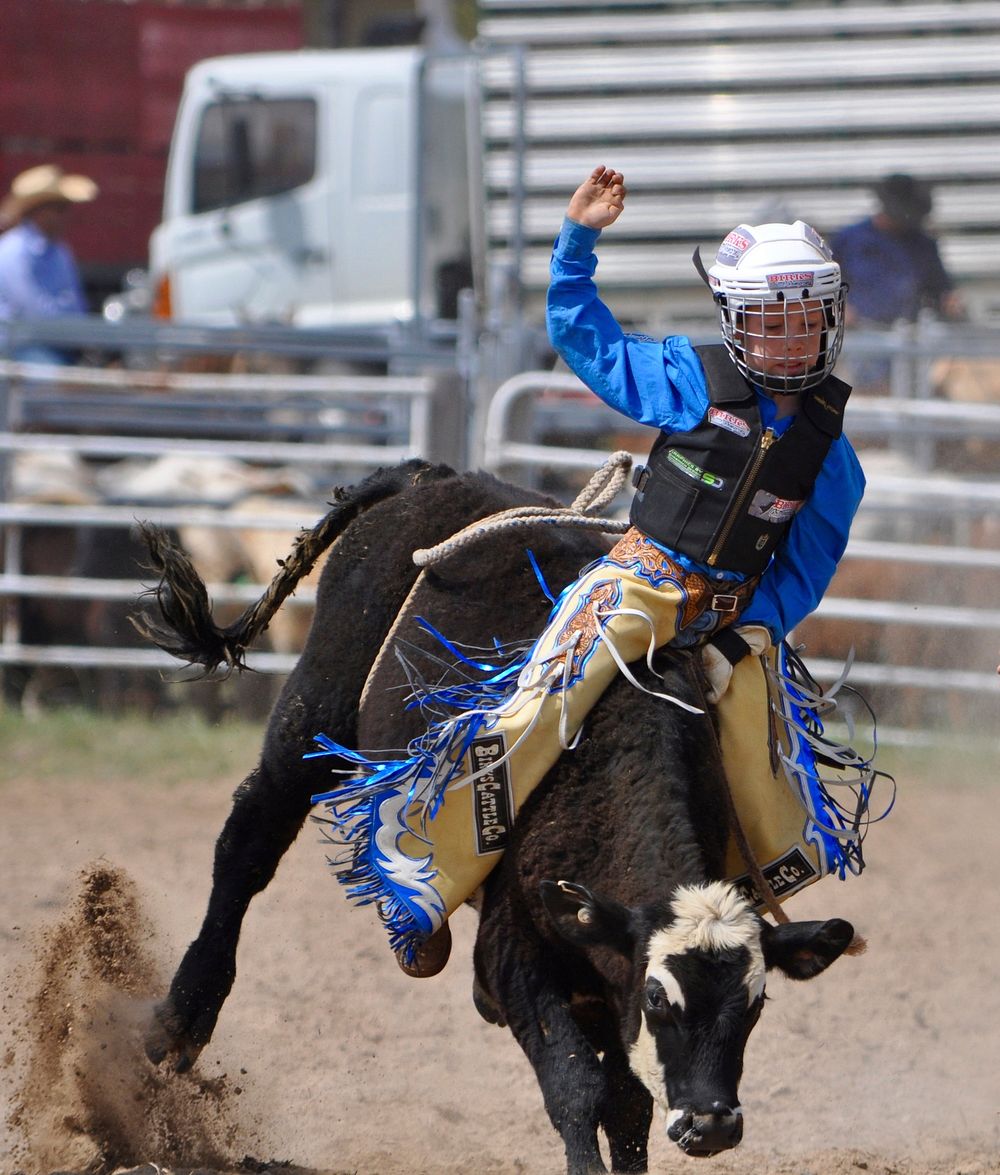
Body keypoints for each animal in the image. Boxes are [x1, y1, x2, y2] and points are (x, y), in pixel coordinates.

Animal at [134, 459, 858, 1175]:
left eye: (755, 1002)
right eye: (660, 997)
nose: (710, 1124)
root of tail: (432, 476)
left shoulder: (604, 964)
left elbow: (628, 1103)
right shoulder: (513, 952)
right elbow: (576, 1084)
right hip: (314, 710)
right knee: (248, 842)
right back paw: (179, 1022)